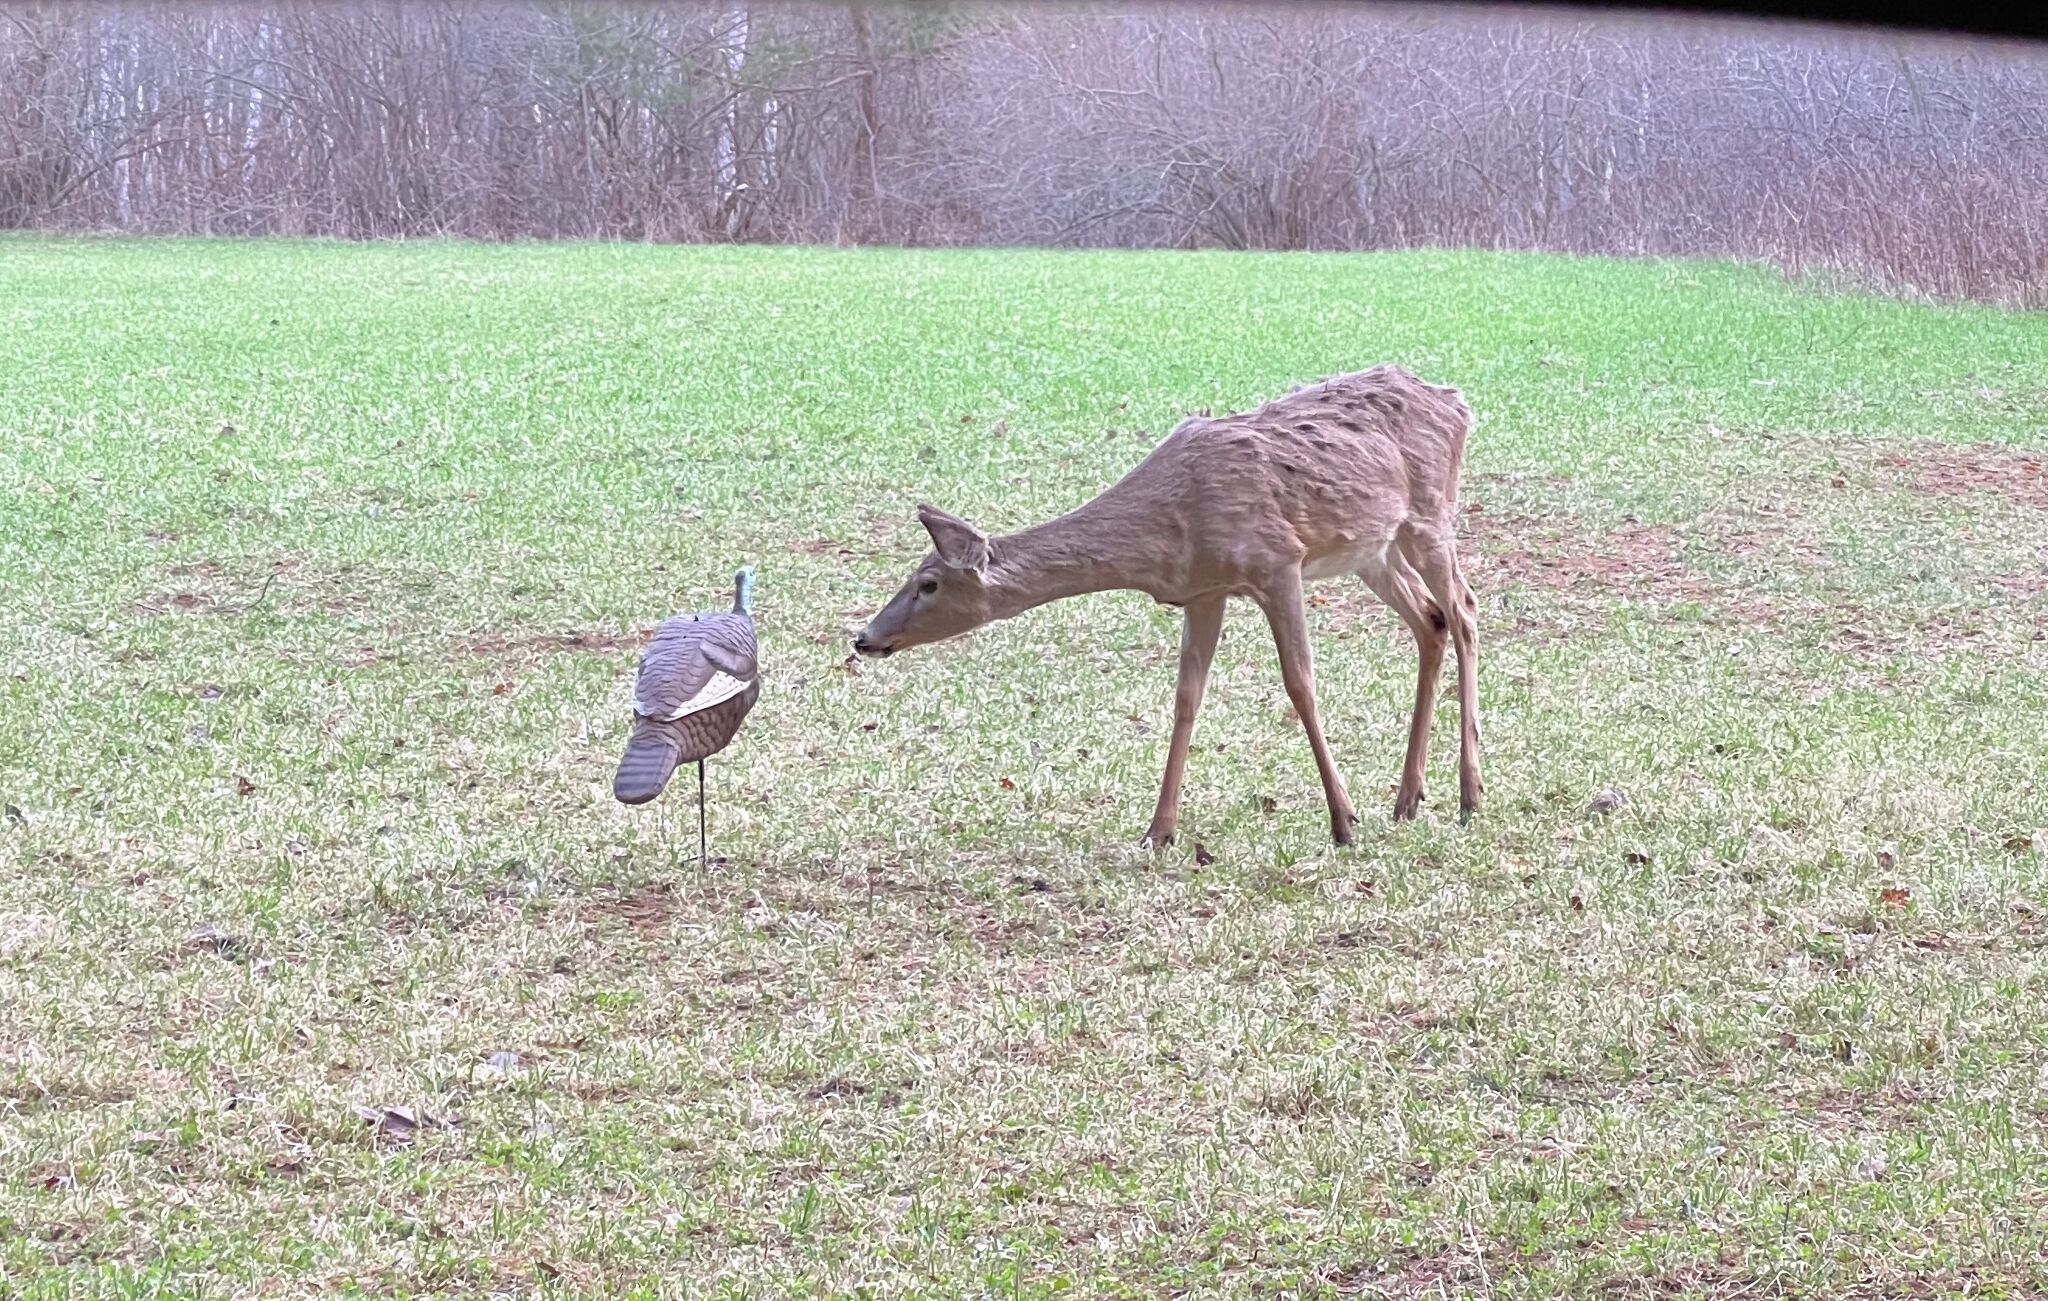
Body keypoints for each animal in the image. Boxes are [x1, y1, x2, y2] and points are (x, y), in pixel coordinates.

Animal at [852, 365, 1480, 848]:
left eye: (929, 582)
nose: (863, 637)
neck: (1169, 526)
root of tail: (1458, 402)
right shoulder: (1204, 591)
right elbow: (1186, 698)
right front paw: (1159, 830)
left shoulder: (1277, 562)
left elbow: (1300, 682)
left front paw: (1343, 820)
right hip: (1372, 549)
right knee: (1431, 619)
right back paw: (1408, 798)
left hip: (1429, 516)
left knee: (1466, 610)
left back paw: (1469, 793)